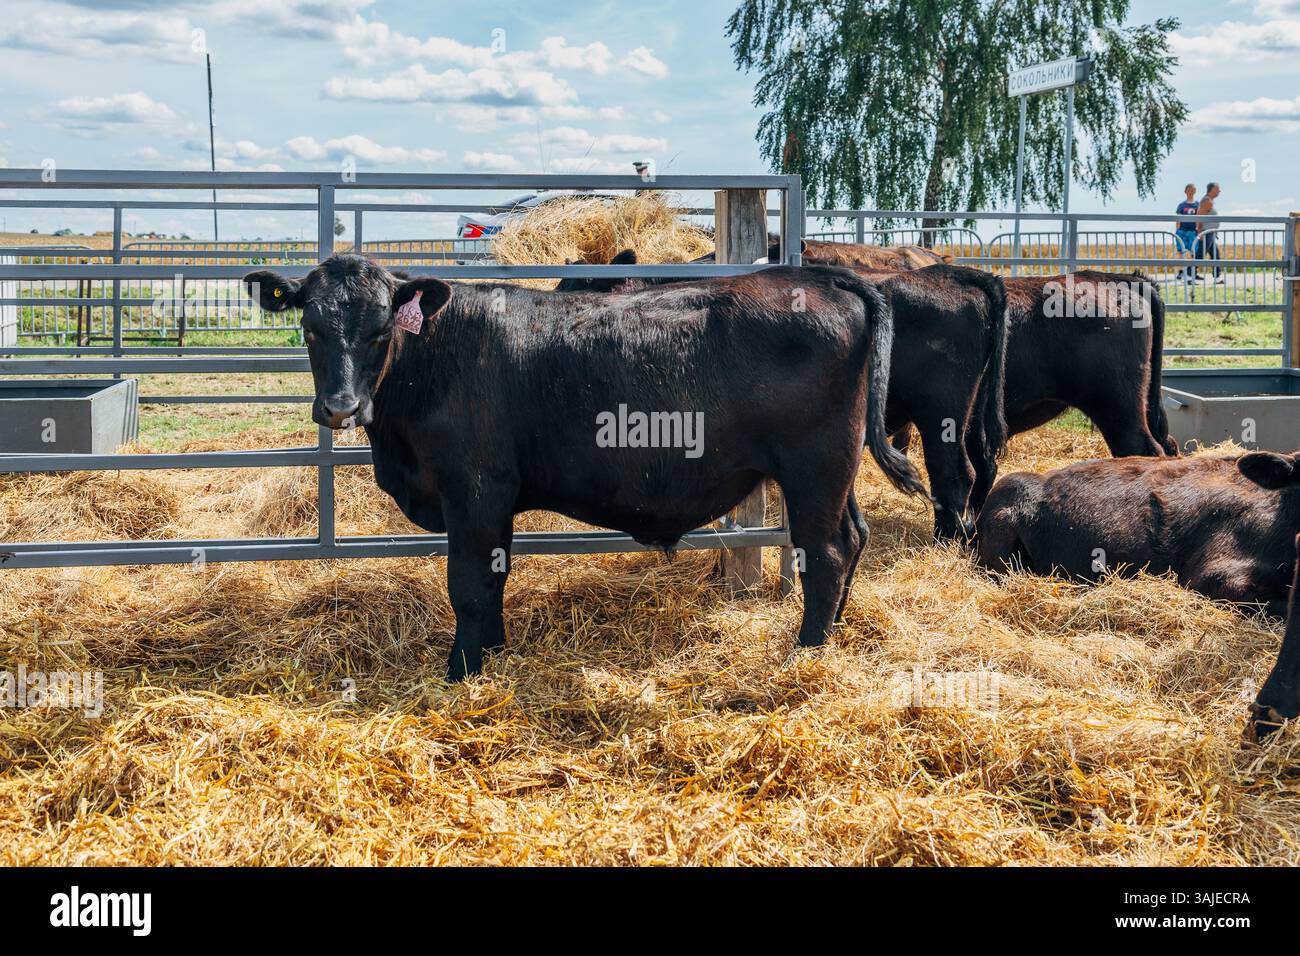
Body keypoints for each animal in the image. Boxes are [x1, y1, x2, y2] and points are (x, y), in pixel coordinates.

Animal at [244, 254, 925, 681]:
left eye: (382, 327)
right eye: (309, 326)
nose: (340, 406)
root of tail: (818, 277)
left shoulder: (474, 492)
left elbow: (468, 586)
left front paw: (460, 672)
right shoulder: (493, 502)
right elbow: (494, 578)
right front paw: (493, 651)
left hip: (814, 467)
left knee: (827, 553)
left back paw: (805, 654)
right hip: (835, 471)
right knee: (853, 538)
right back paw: (833, 635)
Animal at [555, 250, 1008, 540]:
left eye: (586, 288)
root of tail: (956, 275)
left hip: (941, 413)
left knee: (953, 473)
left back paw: (946, 539)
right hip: (973, 410)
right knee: (981, 462)